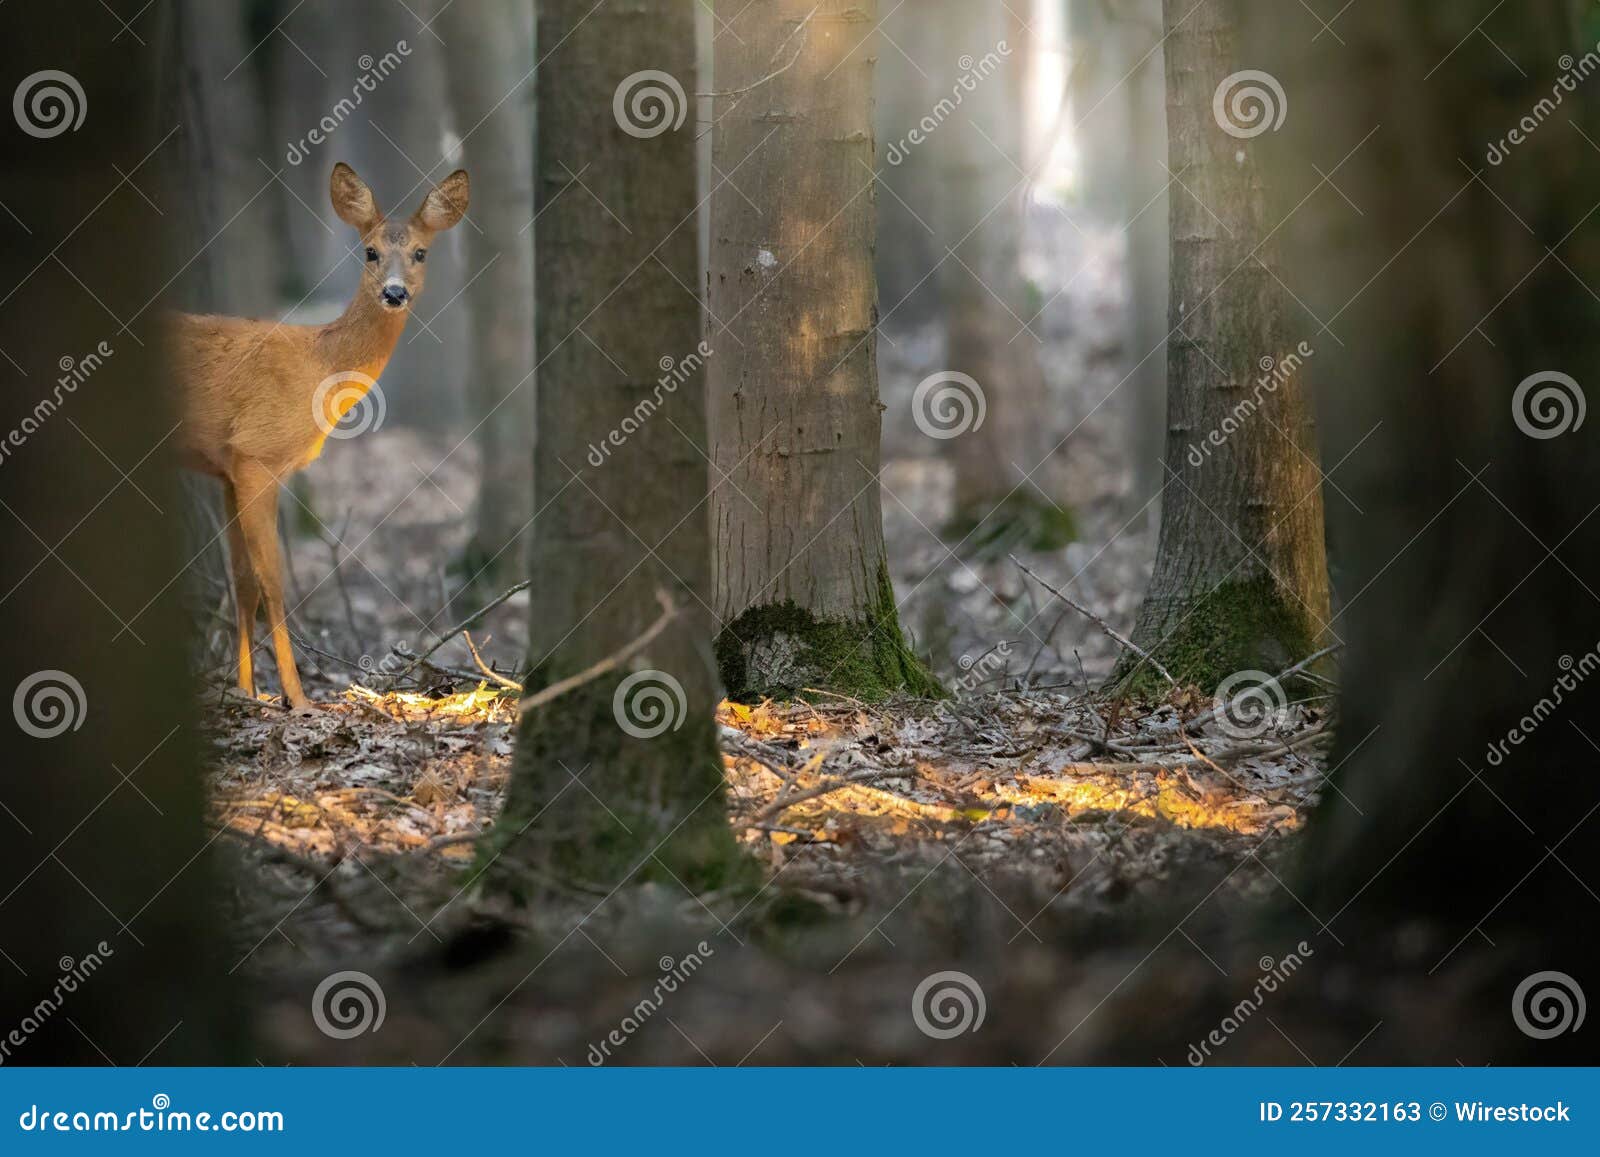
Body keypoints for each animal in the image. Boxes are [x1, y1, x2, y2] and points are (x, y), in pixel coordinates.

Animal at [169, 162, 469, 709]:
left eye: (421, 252)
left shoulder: (226, 467)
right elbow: (272, 581)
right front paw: (297, 697)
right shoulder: (257, 454)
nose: (395, 293)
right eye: (370, 251)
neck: (319, 367)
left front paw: (248, 693)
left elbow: (241, 582)